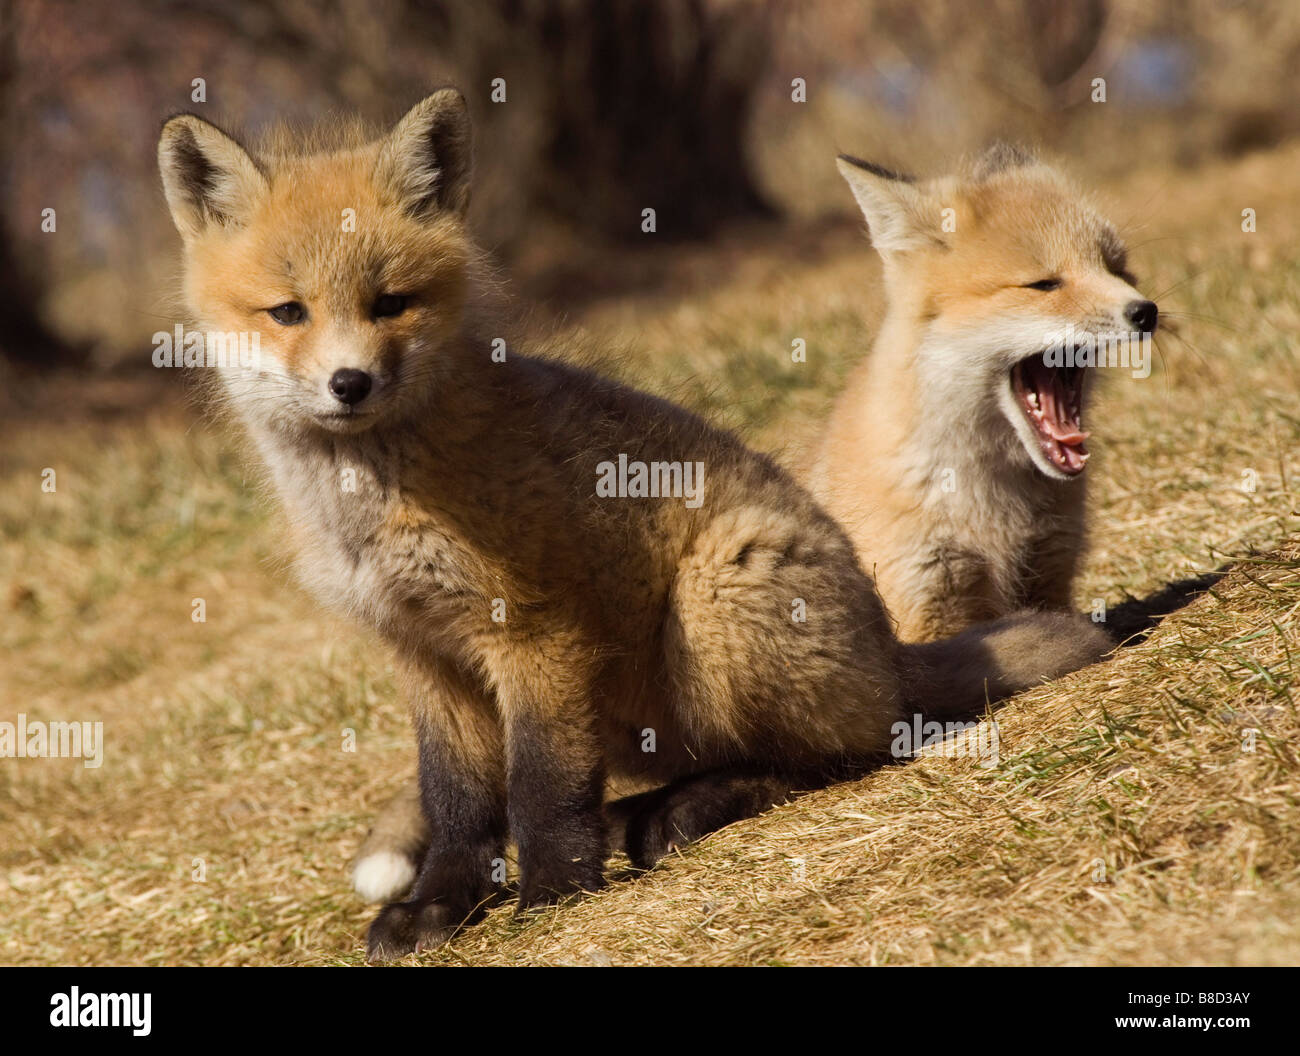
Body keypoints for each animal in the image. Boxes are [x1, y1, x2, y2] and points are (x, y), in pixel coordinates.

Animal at [158, 90, 1112, 960]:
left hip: (719, 597)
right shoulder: (425, 654)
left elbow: (542, 788)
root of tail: (890, 647)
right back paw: (639, 813)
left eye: (392, 303)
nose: (349, 384)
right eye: (288, 312)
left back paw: (690, 810)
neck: (375, 502)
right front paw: (441, 909)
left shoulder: (536, 631)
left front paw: (551, 895)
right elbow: (458, 802)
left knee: (850, 751)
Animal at [804, 146, 1158, 644]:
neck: (994, 499)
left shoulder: (1049, 574)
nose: (1146, 312)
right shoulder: (926, 605)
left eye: (1117, 269)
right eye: (1044, 284)